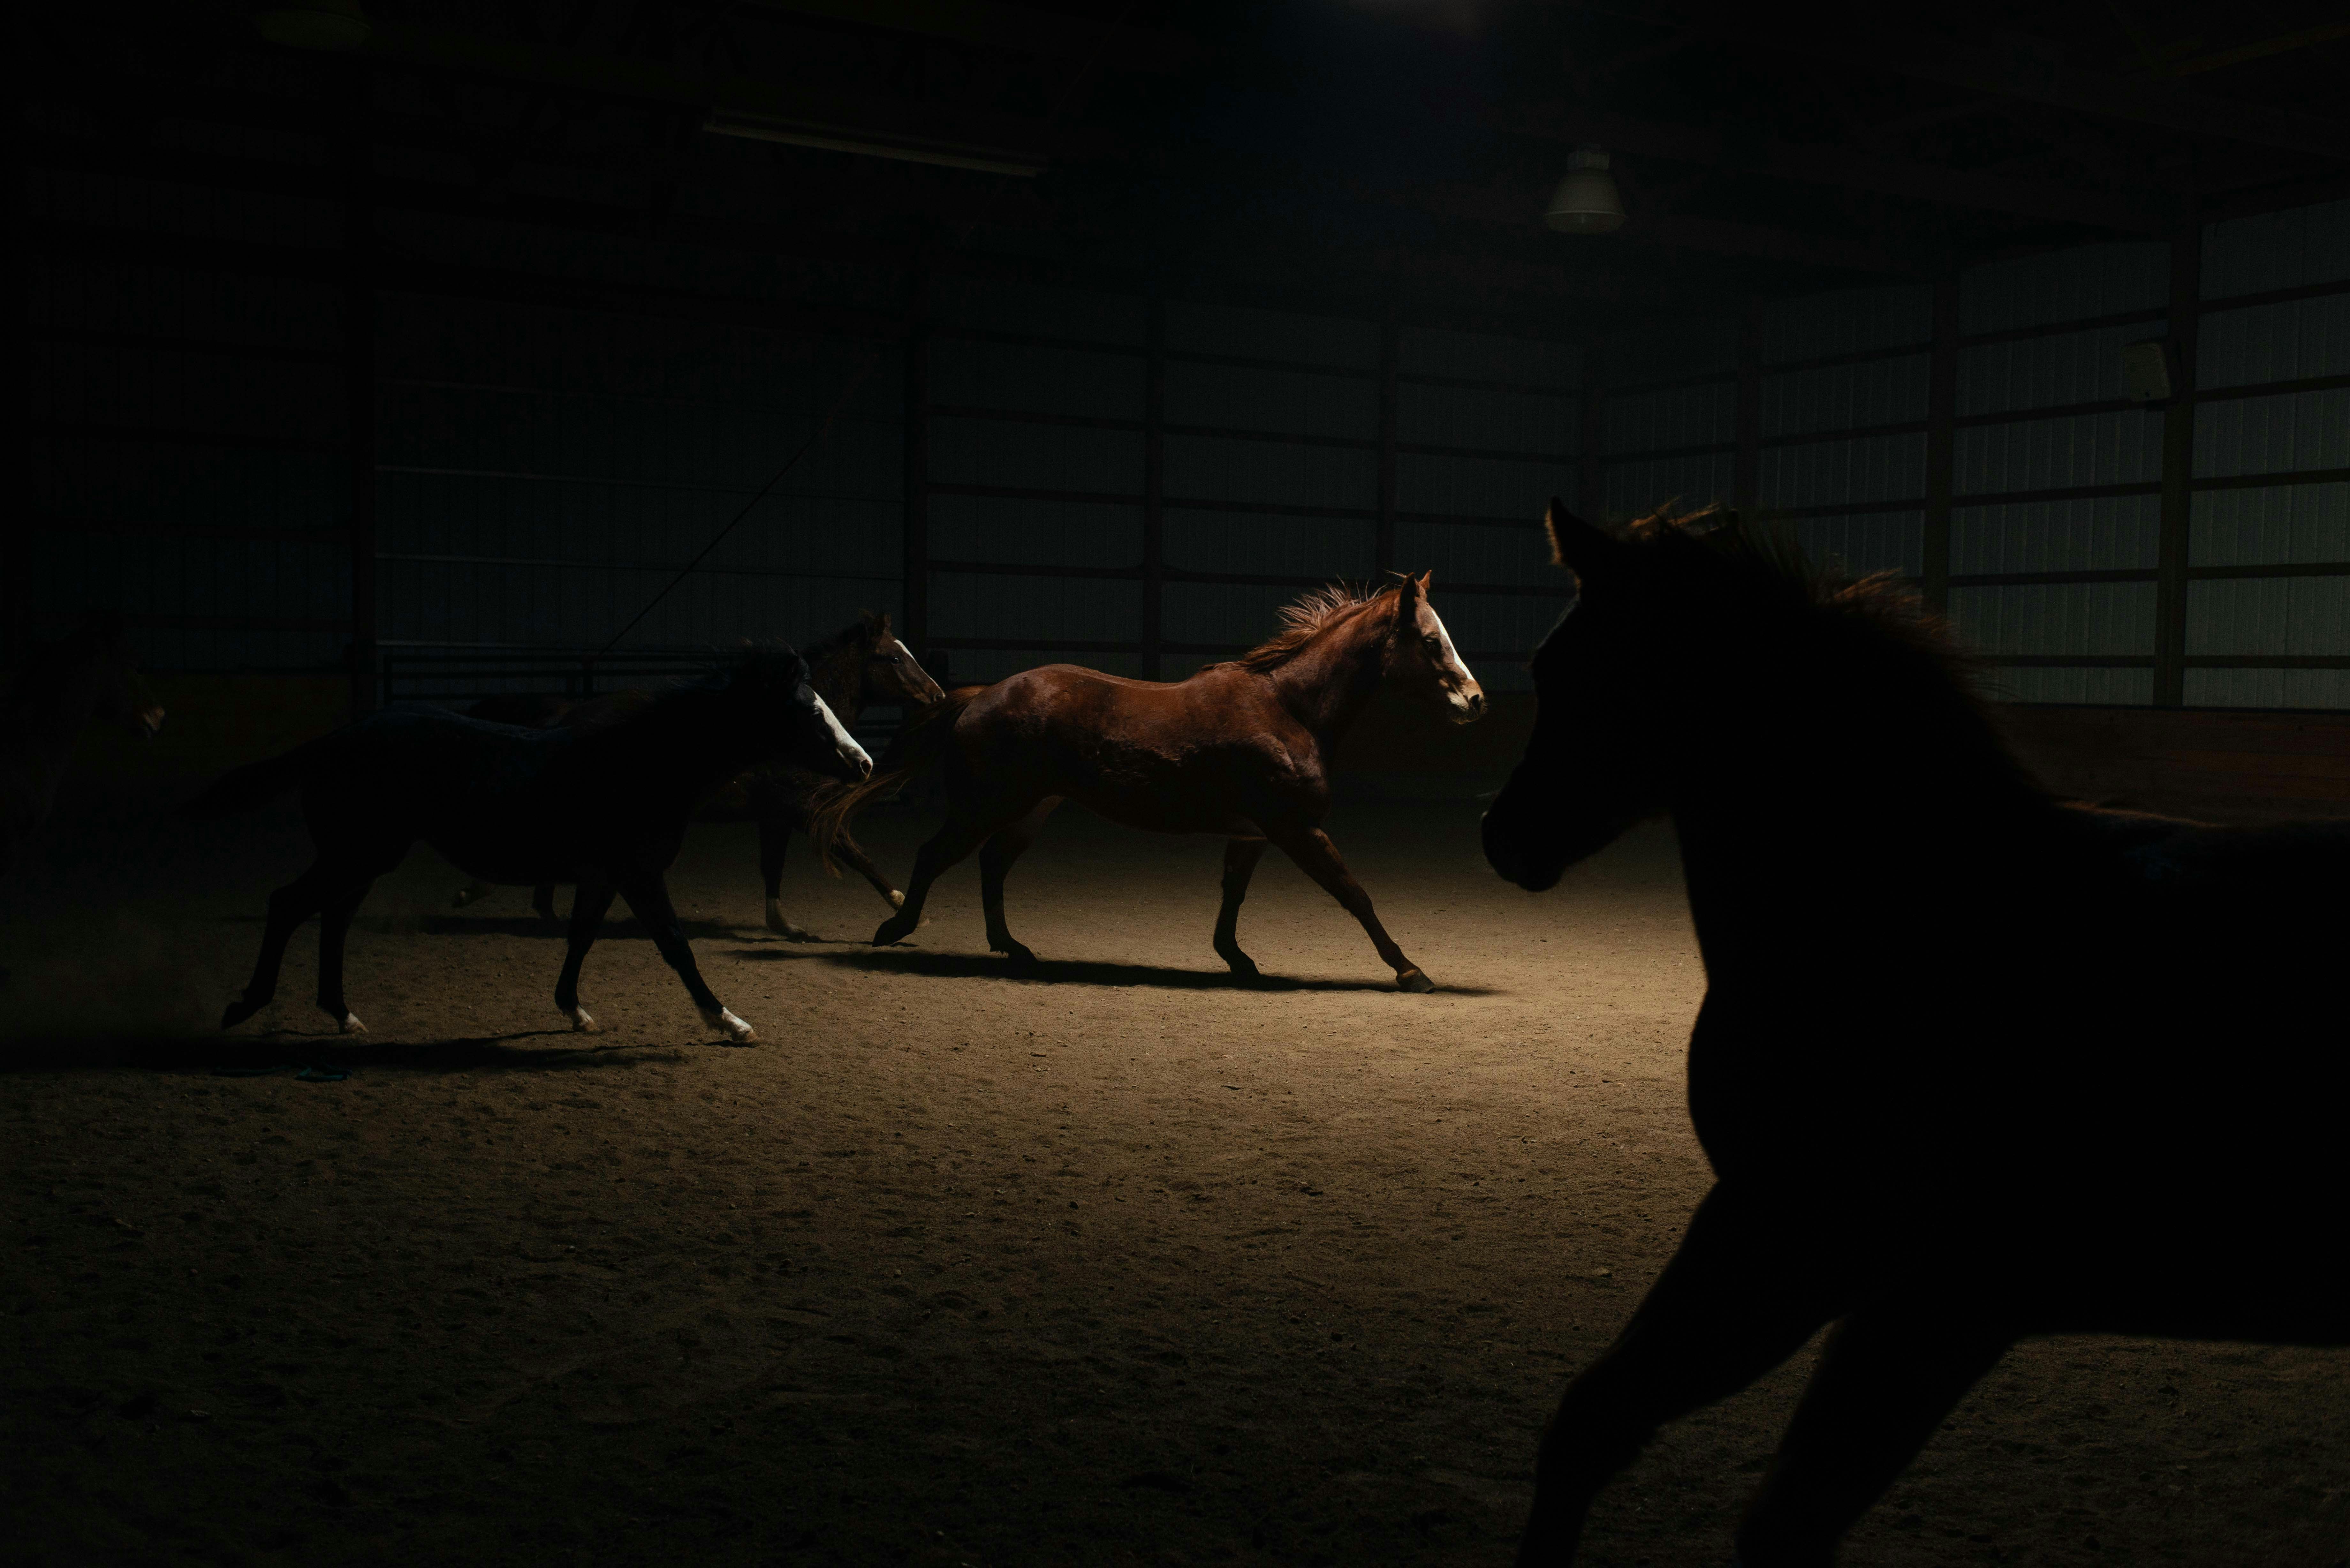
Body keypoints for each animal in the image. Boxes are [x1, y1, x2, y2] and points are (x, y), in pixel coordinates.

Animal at [188, 647, 872, 1044]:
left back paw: (342, 1014)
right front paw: (728, 1021)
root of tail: (332, 740)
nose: (863, 763)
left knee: (332, 920)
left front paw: (574, 1011)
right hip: (356, 853)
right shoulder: (639, 873)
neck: (640, 765)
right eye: (809, 713)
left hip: (364, 858)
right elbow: (675, 946)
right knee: (288, 905)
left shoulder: (602, 875)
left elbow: (580, 937)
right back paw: (246, 1007)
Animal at [451, 613, 944, 935]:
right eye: (894, 658)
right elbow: (856, 854)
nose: (938, 696)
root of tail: (565, 715)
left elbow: (774, 867)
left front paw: (783, 924)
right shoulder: (800, 808)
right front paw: (907, 908)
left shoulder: (776, 815)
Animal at [813, 572, 1485, 991]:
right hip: (986, 804)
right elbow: (1354, 894)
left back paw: (1012, 946)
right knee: (936, 855)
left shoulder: (1255, 833)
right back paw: (897, 929)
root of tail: (980, 694)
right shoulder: (1296, 829)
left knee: (993, 863)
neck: (1288, 708)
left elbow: (1233, 895)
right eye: (1432, 641)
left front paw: (1237, 959)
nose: (1477, 701)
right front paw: (1410, 970)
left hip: (1032, 807)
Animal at [1479, 500, 2350, 1566]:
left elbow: (1764, 1508)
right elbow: (1599, 1427)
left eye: (1583, 668)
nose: (1503, 835)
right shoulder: (1802, 1250)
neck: (1926, 908)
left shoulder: (1868, 1273)